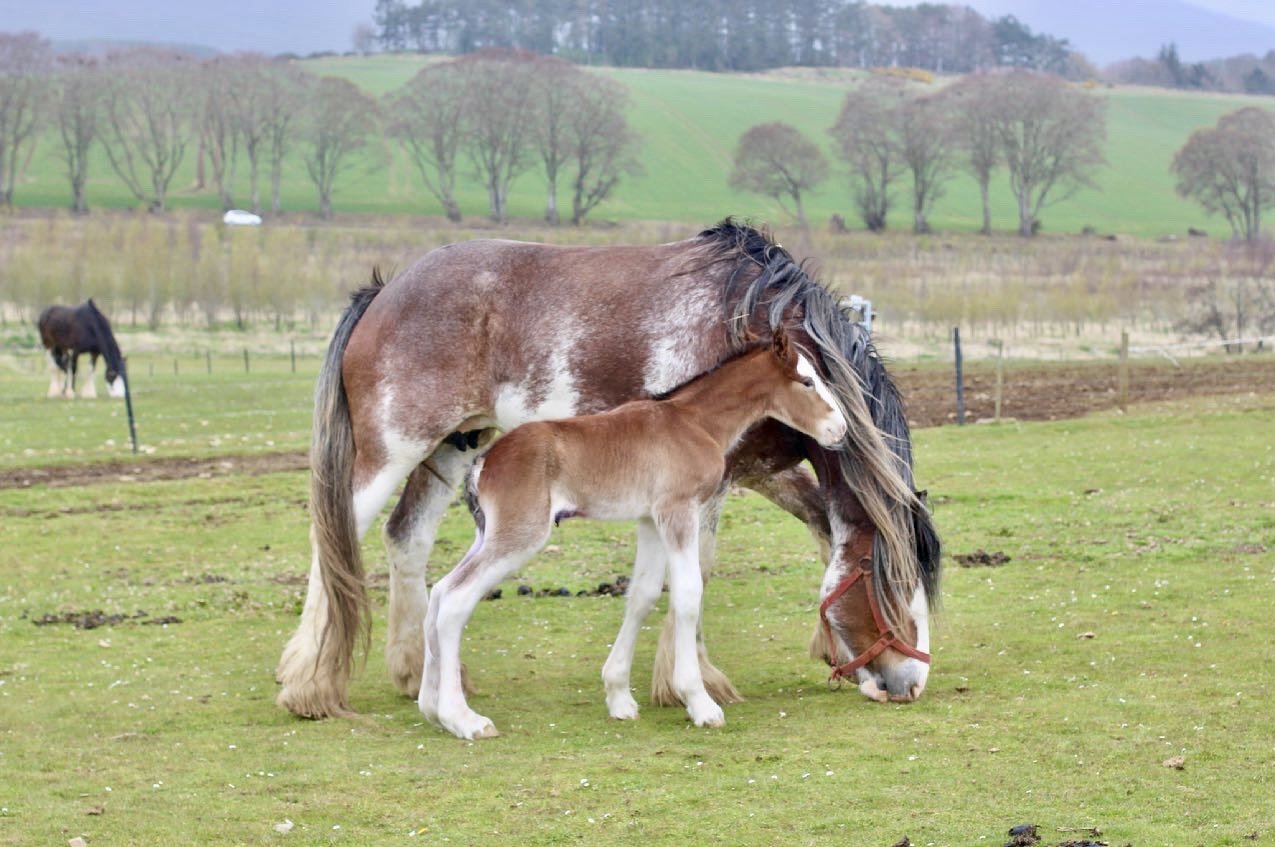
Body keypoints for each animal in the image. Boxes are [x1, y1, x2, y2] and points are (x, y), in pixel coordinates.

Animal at [422, 326, 848, 739]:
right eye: (807, 381)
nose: (840, 430)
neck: (693, 423)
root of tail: (484, 461)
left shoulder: (649, 520)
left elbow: (642, 596)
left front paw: (619, 698)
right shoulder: (678, 511)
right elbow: (688, 595)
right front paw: (699, 703)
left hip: (488, 534)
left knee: (440, 591)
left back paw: (430, 707)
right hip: (520, 535)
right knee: (456, 599)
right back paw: (463, 719)